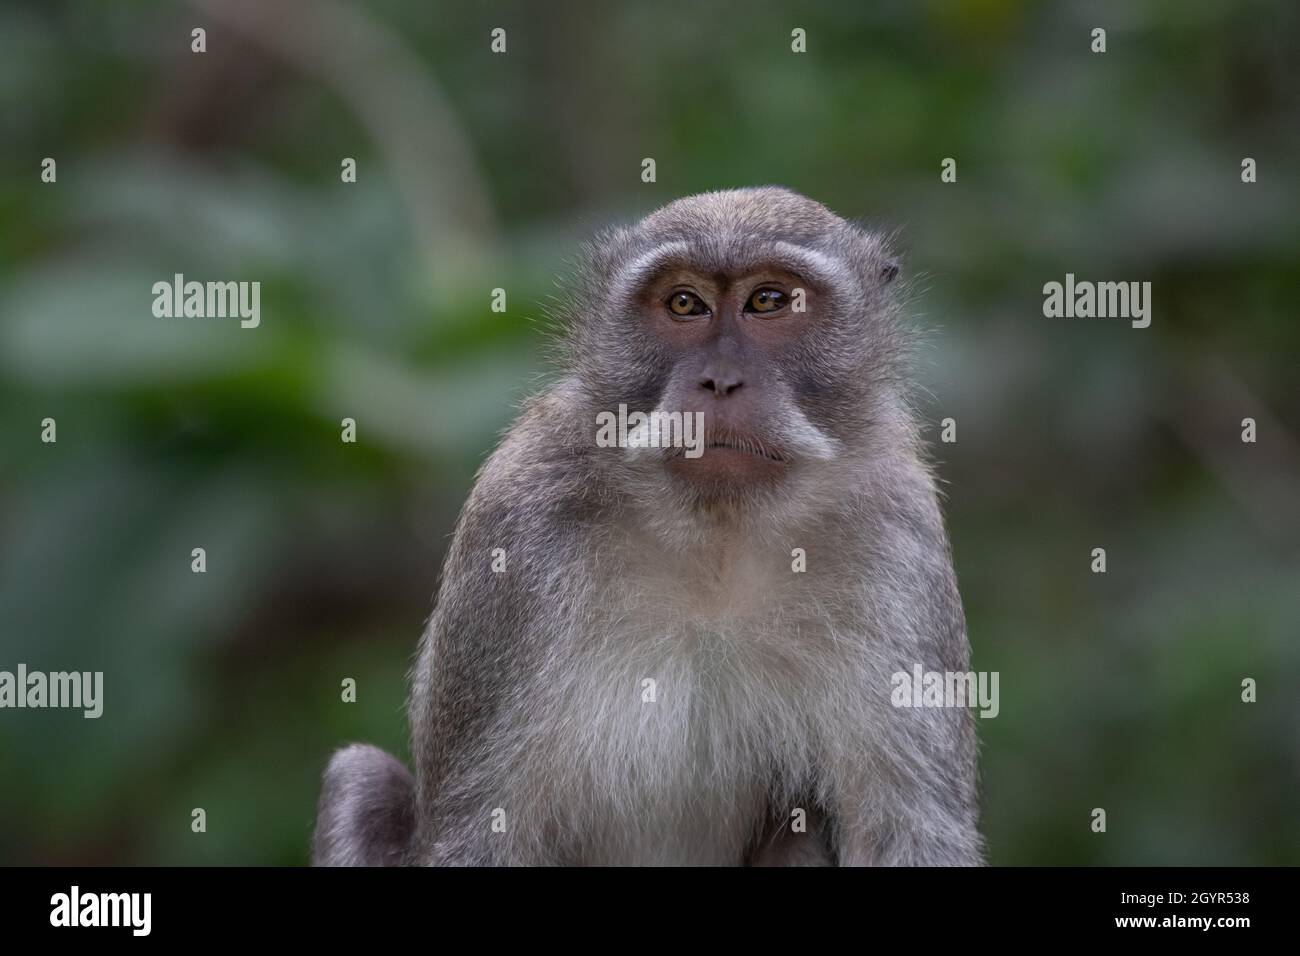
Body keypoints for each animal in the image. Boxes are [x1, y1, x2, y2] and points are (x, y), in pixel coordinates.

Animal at [313, 187, 984, 866]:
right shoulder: (517, 519)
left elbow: (912, 830)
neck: (718, 544)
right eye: (684, 303)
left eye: (769, 300)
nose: (720, 380)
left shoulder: (898, 531)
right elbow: (479, 833)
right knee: (363, 779)